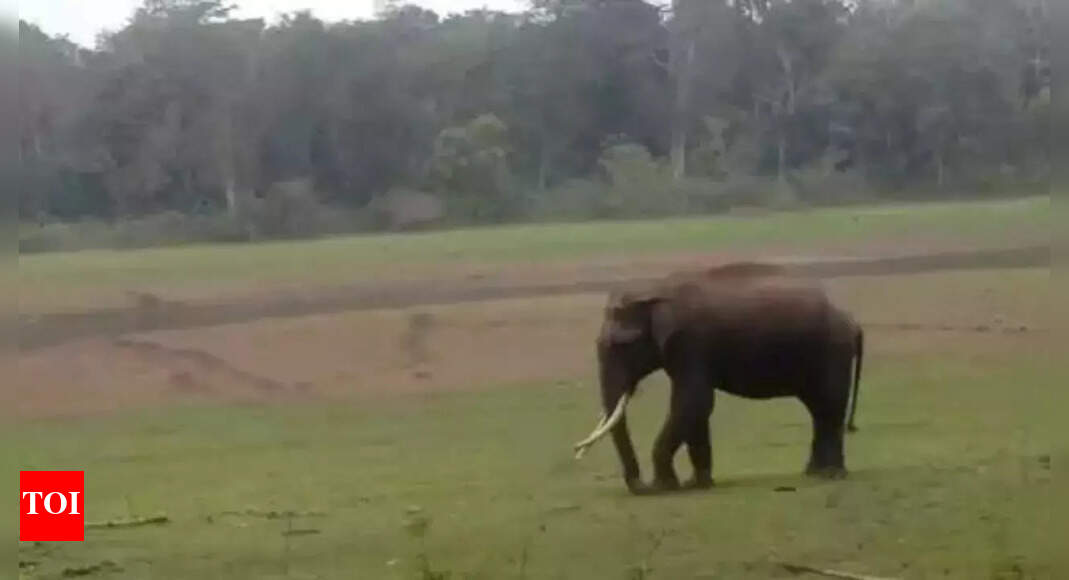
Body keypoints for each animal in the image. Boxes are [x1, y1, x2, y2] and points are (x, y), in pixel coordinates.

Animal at [573, 262, 864, 495]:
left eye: (623, 345)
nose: (640, 485)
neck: (656, 289)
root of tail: (851, 320)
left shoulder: (691, 342)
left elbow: (693, 401)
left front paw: (664, 487)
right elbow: (696, 408)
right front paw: (696, 484)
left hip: (832, 352)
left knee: (829, 407)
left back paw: (831, 475)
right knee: (819, 409)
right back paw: (814, 473)